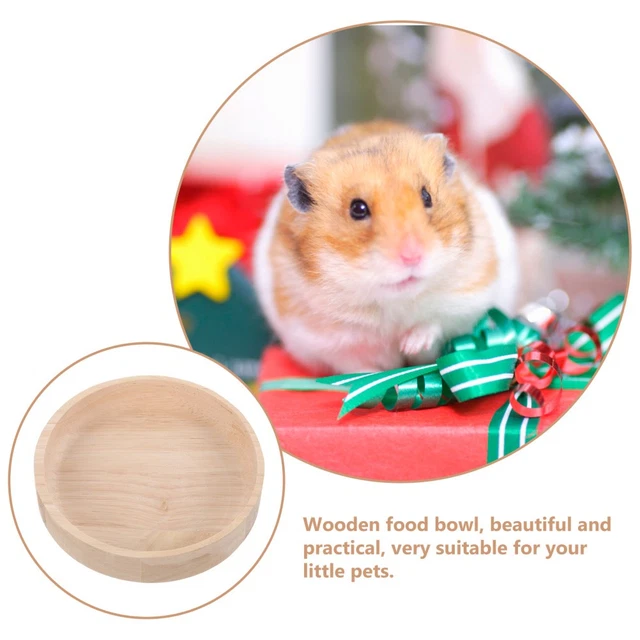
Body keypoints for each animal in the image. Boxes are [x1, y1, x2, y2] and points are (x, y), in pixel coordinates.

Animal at [253, 120, 519, 375]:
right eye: (357, 209)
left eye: (427, 197)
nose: (412, 257)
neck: (394, 301)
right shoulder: (322, 339)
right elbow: (355, 364)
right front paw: (377, 377)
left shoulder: (467, 300)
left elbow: (432, 323)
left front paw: (410, 345)